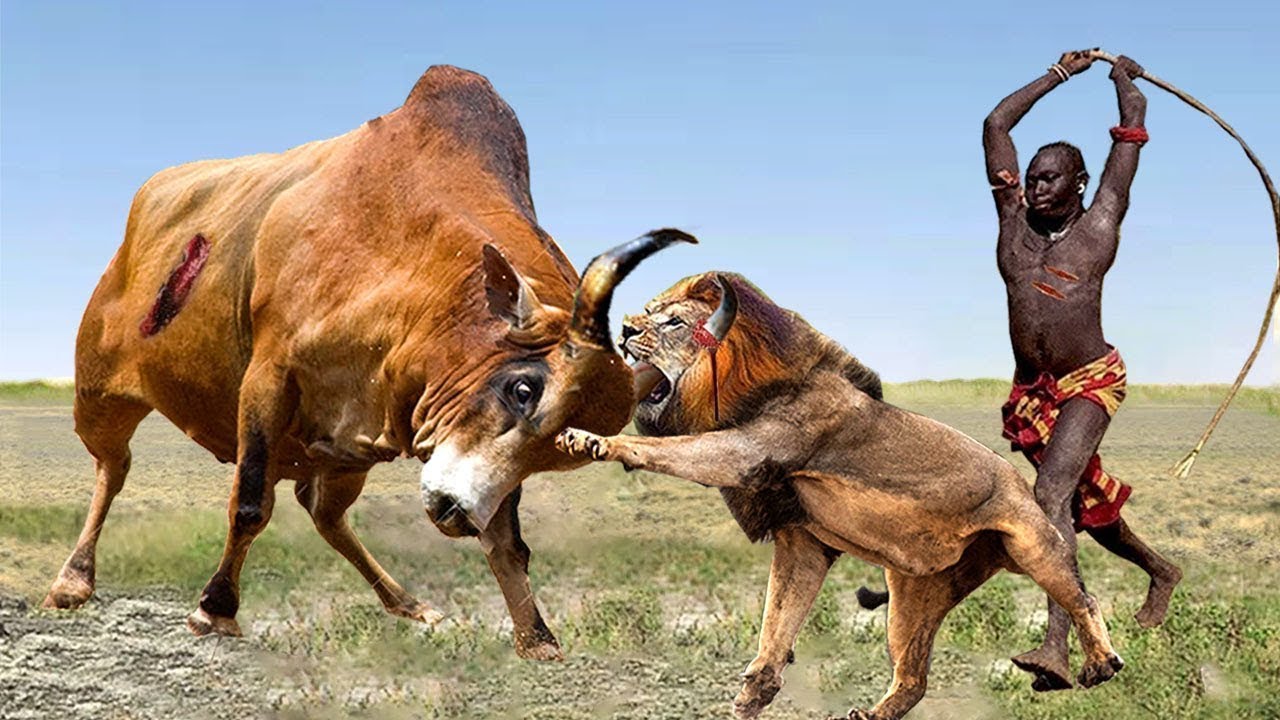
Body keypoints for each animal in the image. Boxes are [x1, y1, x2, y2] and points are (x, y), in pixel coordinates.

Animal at [557, 272, 1124, 720]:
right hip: (912, 597)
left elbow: (667, 449)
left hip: (1032, 544)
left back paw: (1102, 662)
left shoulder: (746, 450)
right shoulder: (801, 540)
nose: (625, 332)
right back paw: (870, 715)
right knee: (913, 678)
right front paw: (755, 693)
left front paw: (591, 438)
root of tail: (1021, 484)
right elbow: (778, 620)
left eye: (673, 322)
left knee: (1084, 598)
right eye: (650, 313)